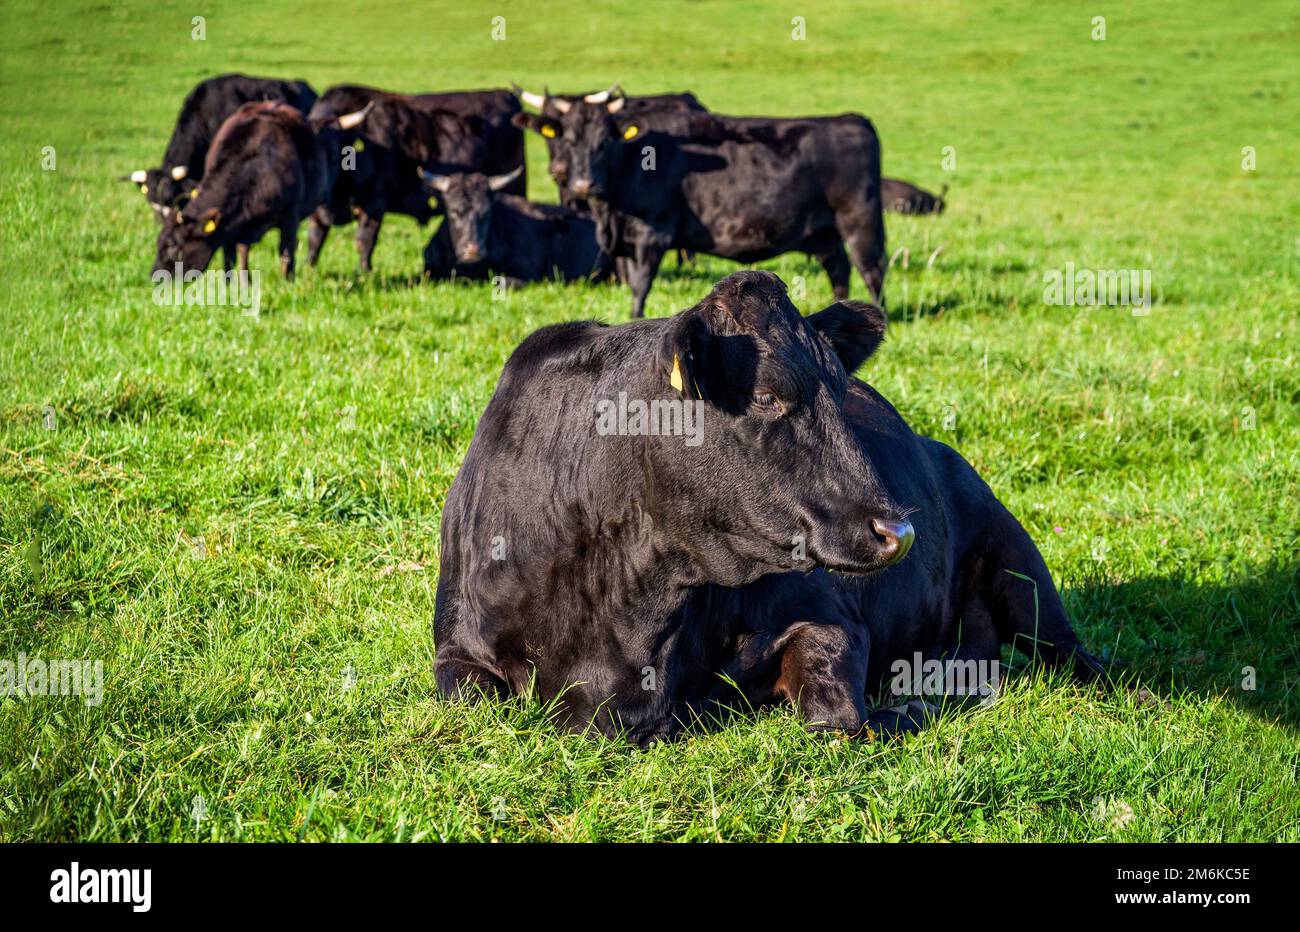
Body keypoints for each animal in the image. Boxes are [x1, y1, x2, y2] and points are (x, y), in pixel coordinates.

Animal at [151, 101, 338, 279]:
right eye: (158, 243)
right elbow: (233, 255)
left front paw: (288, 282)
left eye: (172, 246)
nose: (154, 275)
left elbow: (286, 253)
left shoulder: (291, 213)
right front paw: (237, 284)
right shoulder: (231, 224)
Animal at [304, 85, 525, 272]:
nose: (320, 191)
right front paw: (309, 271)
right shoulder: (317, 213)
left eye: (335, 153)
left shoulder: (374, 204)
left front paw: (364, 273)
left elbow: (364, 242)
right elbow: (314, 241)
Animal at [433, 270, 1103, 746]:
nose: (899, 529)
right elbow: (468, 698)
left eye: (840, 390)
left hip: (1020, 567)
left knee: (1073, 653)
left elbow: (841, 720)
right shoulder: (458, 646)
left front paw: (906, 703)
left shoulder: (829, 614)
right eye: (762, 396)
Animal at [513, 99, 887, 317]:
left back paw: (879, 315)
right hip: (824, 232)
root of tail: (851, 119)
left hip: (860, 221)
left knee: (872, 269)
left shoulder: (652, 233)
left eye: (605, 141)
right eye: (567, 140)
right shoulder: (629, 242)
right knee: (839, 268)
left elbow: (641, 287)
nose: (583, 184)